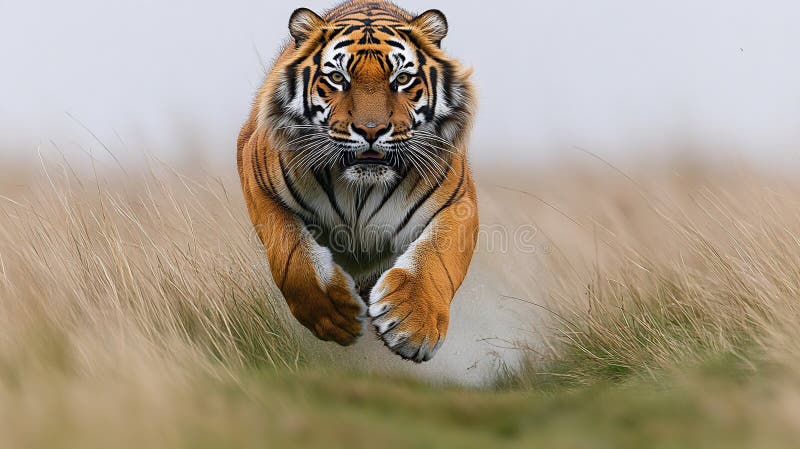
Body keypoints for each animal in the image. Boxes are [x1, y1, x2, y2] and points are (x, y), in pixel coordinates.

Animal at [237, 0, 478, 362]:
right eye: (338, 78)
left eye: (402, 79)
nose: (371, 130)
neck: (361, 188)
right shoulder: (259, 182)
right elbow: (292, 255)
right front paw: (335, 315)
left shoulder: (459, 202)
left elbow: (437, 256)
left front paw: (413, 323)